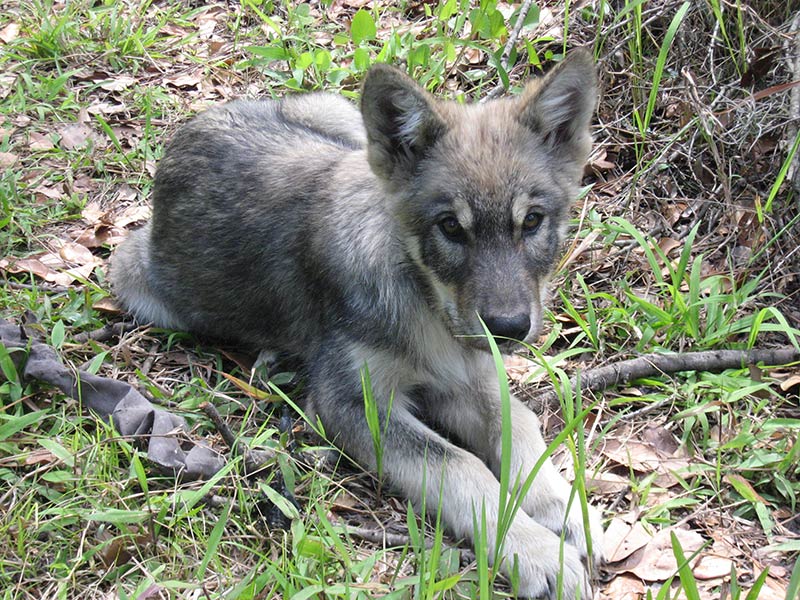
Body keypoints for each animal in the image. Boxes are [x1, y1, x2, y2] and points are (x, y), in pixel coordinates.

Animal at [110, 49, 603, 598]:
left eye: (532, 221)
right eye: (450, 227)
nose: (509, 328)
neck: (424, 306)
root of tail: (195, 124)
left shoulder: (465, 376)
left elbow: (517, 420)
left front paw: (561, 505)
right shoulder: (349, 404)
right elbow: (462, 466)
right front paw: (537, 551)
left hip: (342, 121)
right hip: (138, 281)